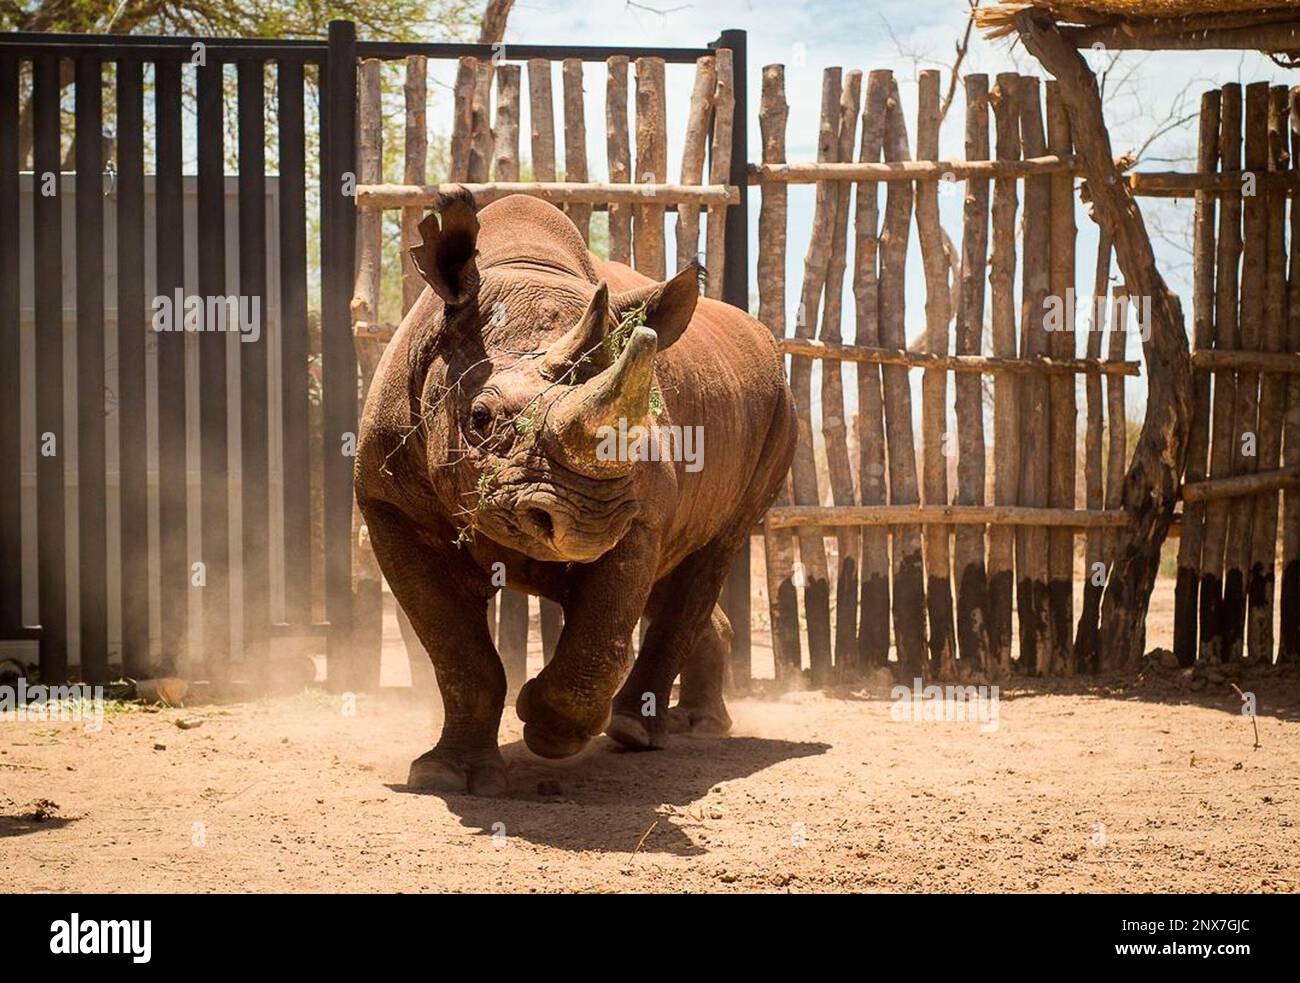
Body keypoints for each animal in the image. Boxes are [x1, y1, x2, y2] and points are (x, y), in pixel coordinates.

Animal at [355, 190, 796, 796]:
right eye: (480, 418)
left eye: (638, 437)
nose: (587, 523)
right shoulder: (389, 507)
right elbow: (456, 652)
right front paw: (444, 775)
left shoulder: (638, 517)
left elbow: (601, 640)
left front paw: (547, 729)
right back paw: (692, 724)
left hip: (782, 412)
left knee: (715, 550)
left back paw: (639, 732)